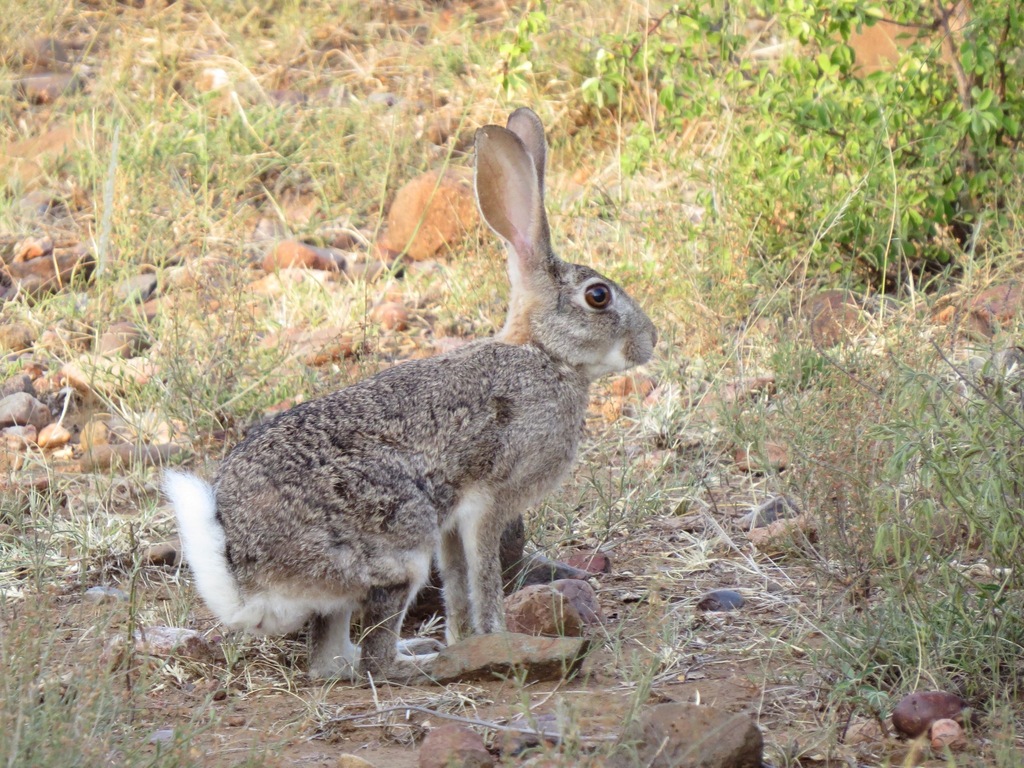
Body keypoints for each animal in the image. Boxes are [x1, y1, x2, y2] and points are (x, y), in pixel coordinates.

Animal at [163, 106, 657, 683]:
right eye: (598, 296)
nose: (650, 342)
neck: (544, 354)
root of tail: (249, 581)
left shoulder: (454, 522)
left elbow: (460, 584)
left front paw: (468, 637)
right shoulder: (490, 502)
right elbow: (483, 577)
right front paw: (495, 636)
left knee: (331, 662)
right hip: (400, 542)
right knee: (373, 661)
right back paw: (422, 665)